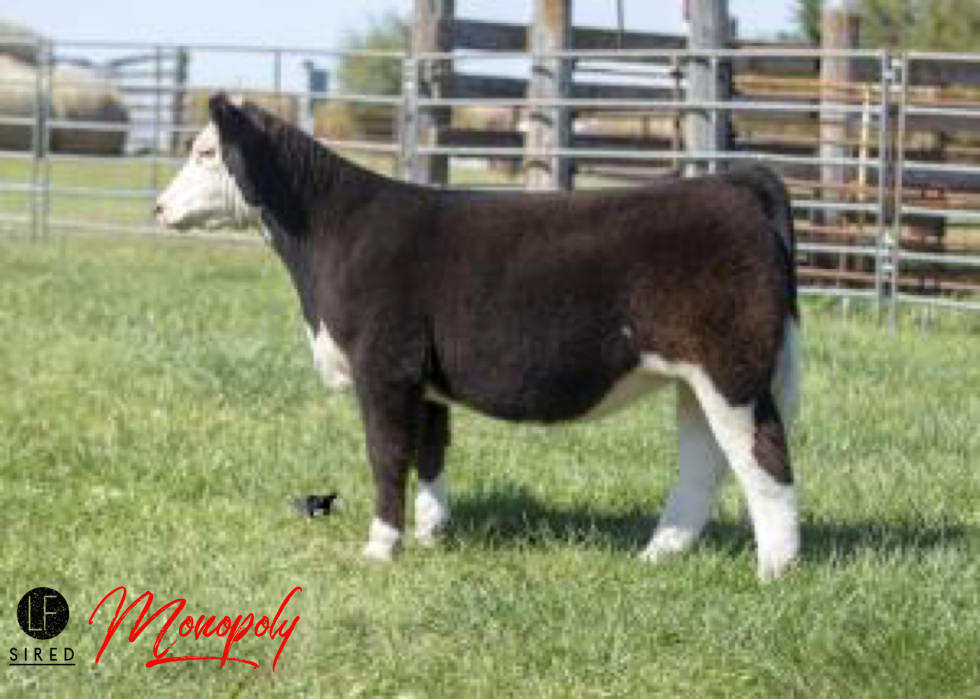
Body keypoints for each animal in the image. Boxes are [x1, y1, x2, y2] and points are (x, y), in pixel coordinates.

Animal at [156, 94, 802, 579]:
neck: (330, 237)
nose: (159, 206)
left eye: (206, 152)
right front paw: (432, 533)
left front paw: (381, 547)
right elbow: (431, 451)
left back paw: (775, 570)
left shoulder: (383, 367)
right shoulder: (425, 378)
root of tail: (737, 180)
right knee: (704, 461)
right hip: (693, 377)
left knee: (763, 454)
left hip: (732, 369)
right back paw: (659, 553)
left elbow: (386, 454)